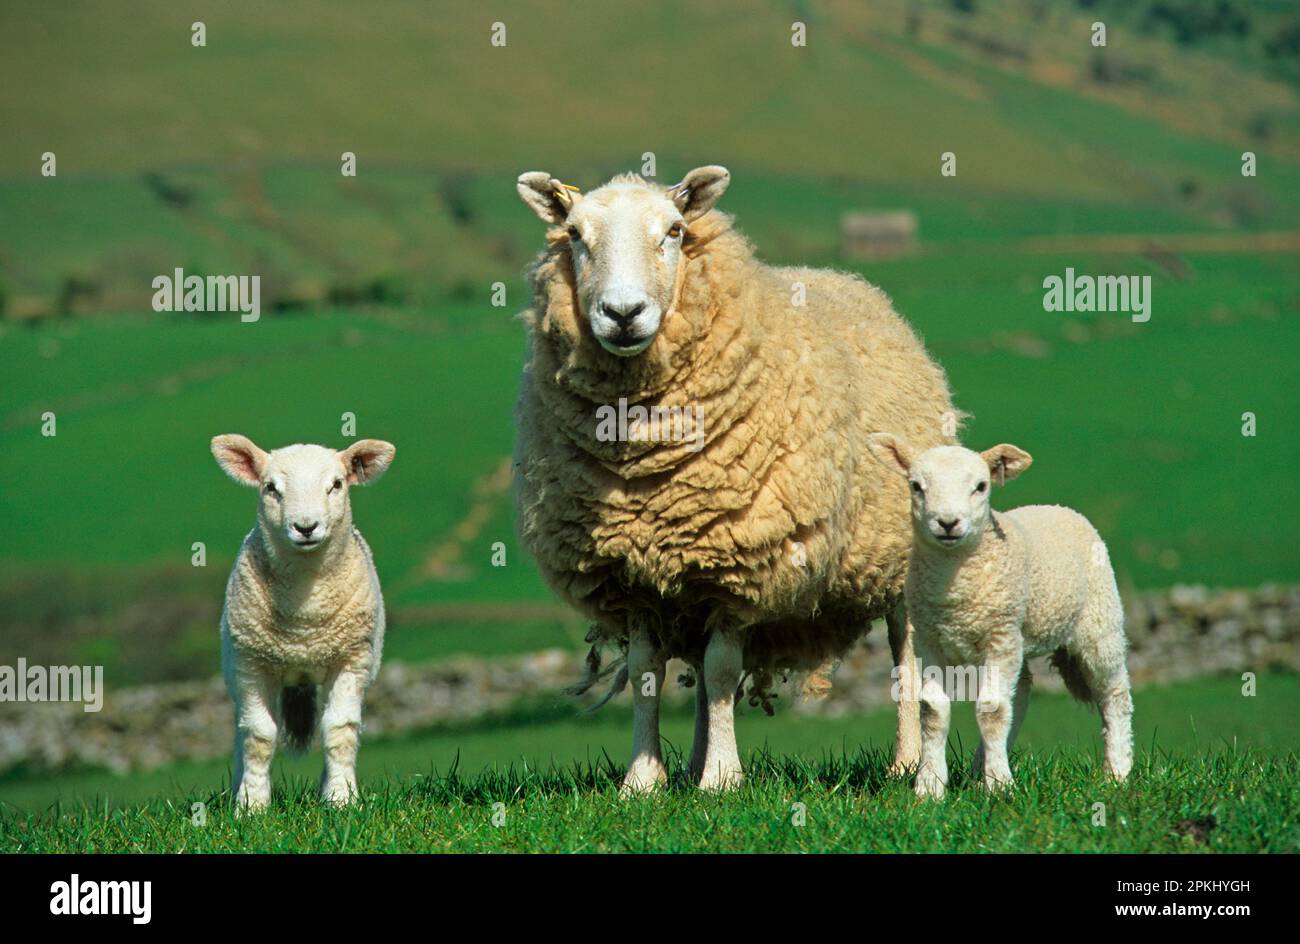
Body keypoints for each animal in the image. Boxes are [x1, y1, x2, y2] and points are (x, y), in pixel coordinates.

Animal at [211, 434, 396, 810]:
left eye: (336, 484)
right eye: (270, 488)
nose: (306, 527)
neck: (304, 619)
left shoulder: (352, 659)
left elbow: (339, 728)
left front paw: (341, 798)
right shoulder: (251, 664)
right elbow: (258, 735)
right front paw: (251, 805)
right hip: (234, 669)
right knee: (239, 732)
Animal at [512, 165, 958, 792]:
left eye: (674, 231)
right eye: (575, 234)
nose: (622, 313)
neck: (640, 466)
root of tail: (852, 285)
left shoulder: (736, 564)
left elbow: (724, 669)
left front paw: (722, 779)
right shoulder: (633, 575)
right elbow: (648, 671)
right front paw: (643, 781)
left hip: (903, 555)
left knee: (907, 656)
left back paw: (907, 762)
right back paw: (693, 760)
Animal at [865, 434, 1133, 799]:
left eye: (981, 486)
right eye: (916, 486)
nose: (948, 523)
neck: (955, 586)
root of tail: (1059, 508)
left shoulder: (999, 637)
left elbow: (991, 710)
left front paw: (999, 787)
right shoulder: (929, 640)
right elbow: (933, 710)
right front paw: (930, 787)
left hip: (1097, 622)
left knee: (1114, 693)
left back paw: (1117, 771)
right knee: (1021, 691)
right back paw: (980, 768)